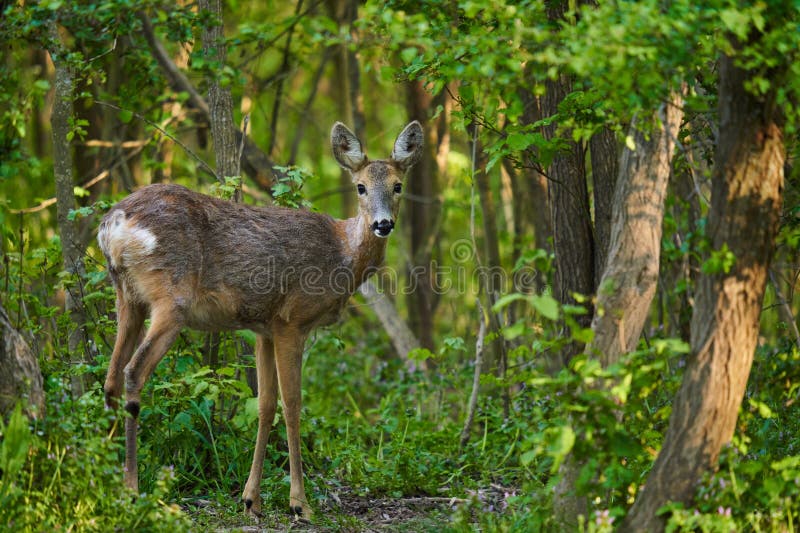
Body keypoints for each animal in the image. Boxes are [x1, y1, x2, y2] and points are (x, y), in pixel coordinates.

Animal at [98, 121, 423, 519]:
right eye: (360, 186)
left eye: (398, 185)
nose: (383, 224)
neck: (342, 255)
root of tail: (114, 224)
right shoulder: (292, 320)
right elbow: (293, 405)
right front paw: (300, 503)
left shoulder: (264, 328)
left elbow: (265, 404)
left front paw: (251, 498)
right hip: (171, 299)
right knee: (134, 370)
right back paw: (132, 488)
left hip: (127, 297)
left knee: (111, 377)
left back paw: (106, 478)